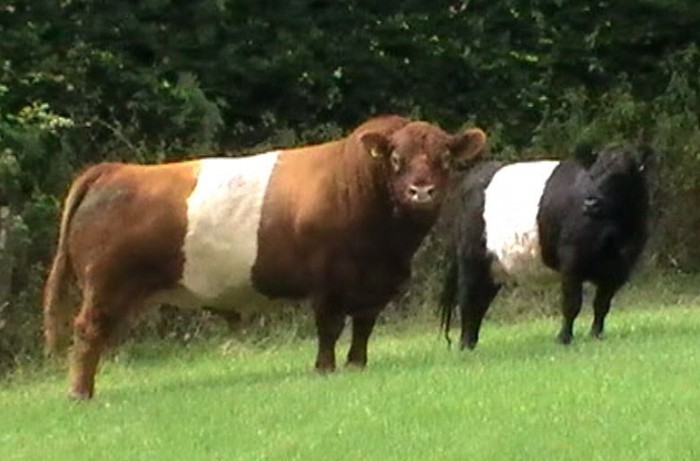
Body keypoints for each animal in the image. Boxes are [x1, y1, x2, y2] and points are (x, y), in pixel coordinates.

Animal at [43, 115, 487, 399]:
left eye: (445, 159)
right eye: (396, 160)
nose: (421, 192)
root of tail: (114, 170)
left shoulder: (375, 285)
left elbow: (362, 329)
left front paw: (357, 366)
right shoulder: (327, 280)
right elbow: (329, 328)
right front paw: (325, 369)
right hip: (105, 286)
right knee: (88, 331)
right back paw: (80, 393)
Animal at [439, 142, 652, 350]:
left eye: (620, 175)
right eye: (593, 174)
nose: (590, 202)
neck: (617, 237)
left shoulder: (618, 271)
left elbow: (602, 305)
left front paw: (596, 335)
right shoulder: (571, 262)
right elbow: (572, 304)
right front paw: (564, 338)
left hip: (494, 268)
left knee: (480, 303)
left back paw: (471, 343)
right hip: (472, 258)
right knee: (467, 298)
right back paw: (465, 344)